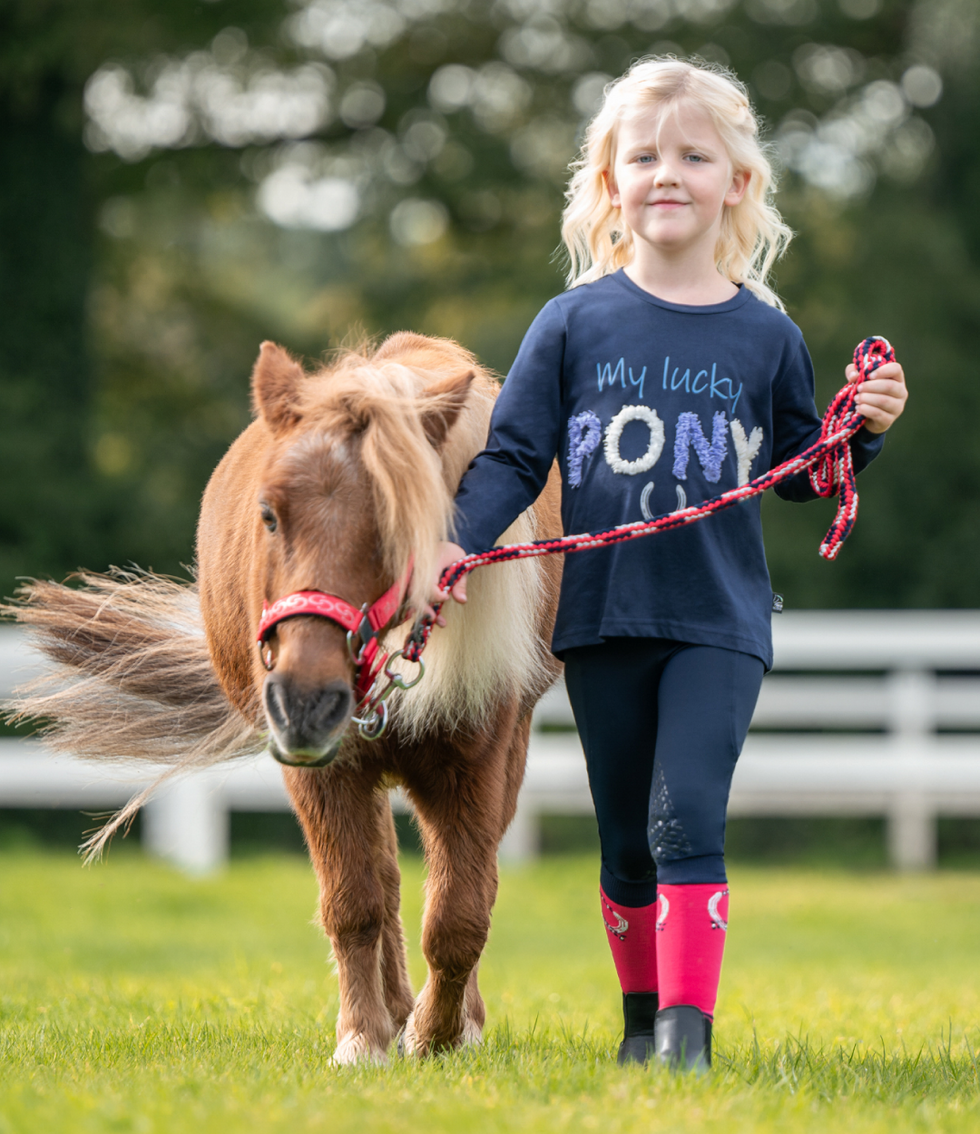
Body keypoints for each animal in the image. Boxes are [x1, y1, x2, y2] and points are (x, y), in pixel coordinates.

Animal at [3, 332, 563, 1063]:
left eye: (398, 527)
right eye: (269, 515)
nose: (304, 701)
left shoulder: (475, 762)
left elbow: (460, 912)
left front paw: (440, 1033)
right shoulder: (322, 771)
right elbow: (353, 903)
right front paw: (363, 1039)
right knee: (383, 880)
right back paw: (390, 1008)